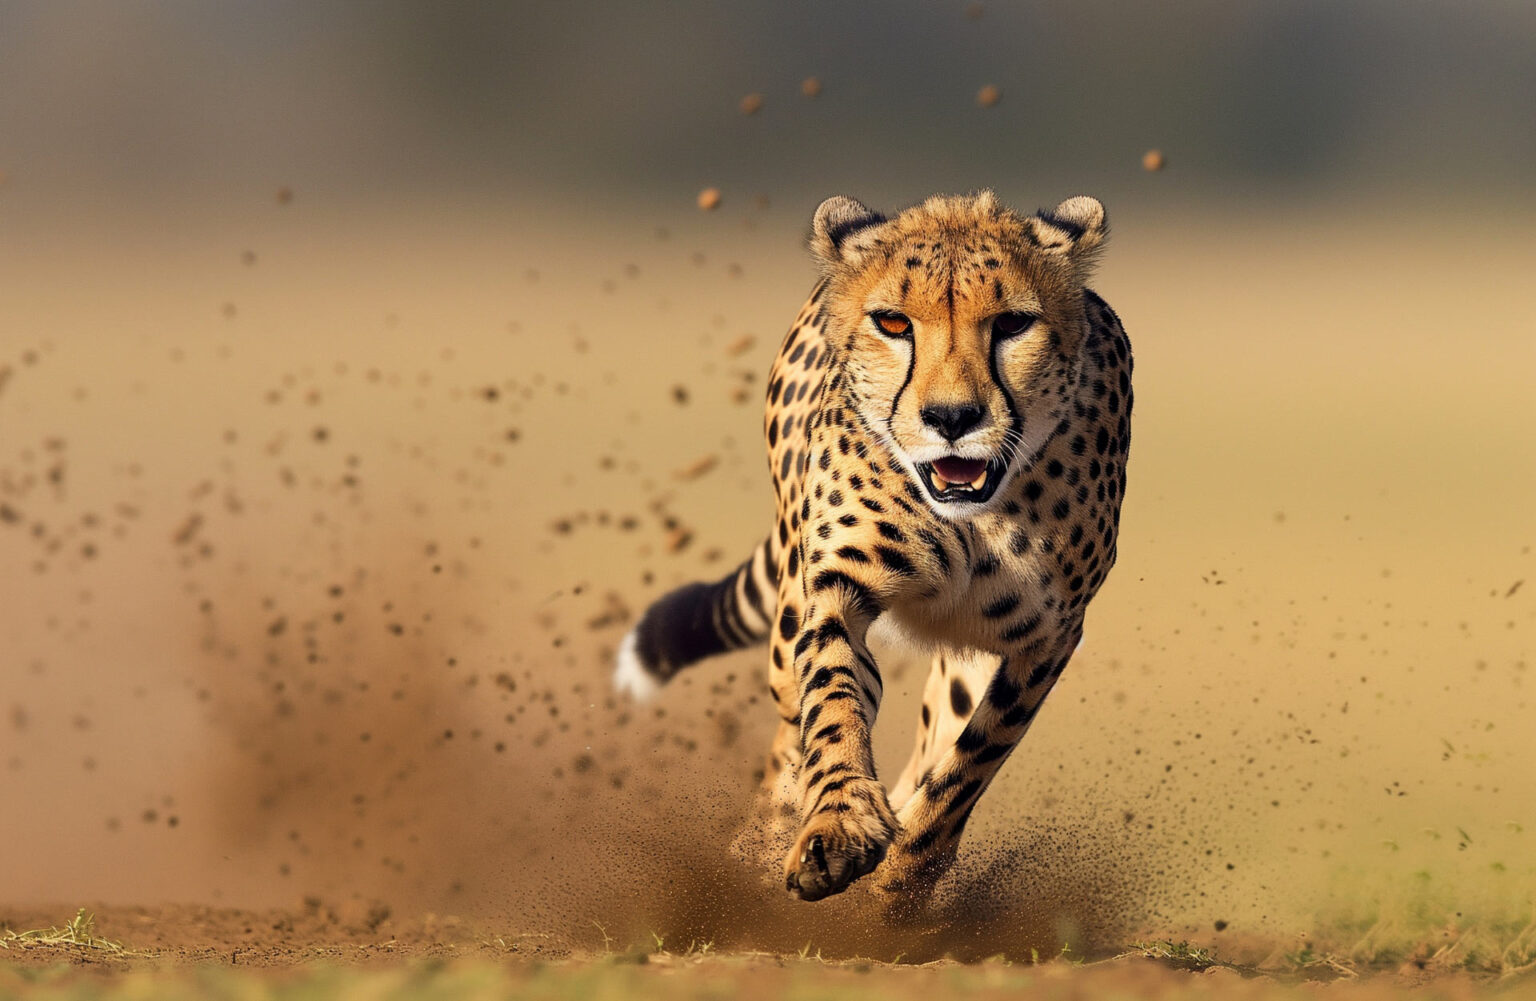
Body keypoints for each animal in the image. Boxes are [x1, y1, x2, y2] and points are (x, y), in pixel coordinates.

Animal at [614, 190, 1132, 906]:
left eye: (1012, 324)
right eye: (892, 322)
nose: (952, 418)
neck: (969, 518)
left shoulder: (1044, 637)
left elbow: (972, 760)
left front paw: (904, 880)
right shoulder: (835, 587)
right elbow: (833, 703)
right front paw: (836, 830)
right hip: (786, 626)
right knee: (788, 729)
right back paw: (762, 840)